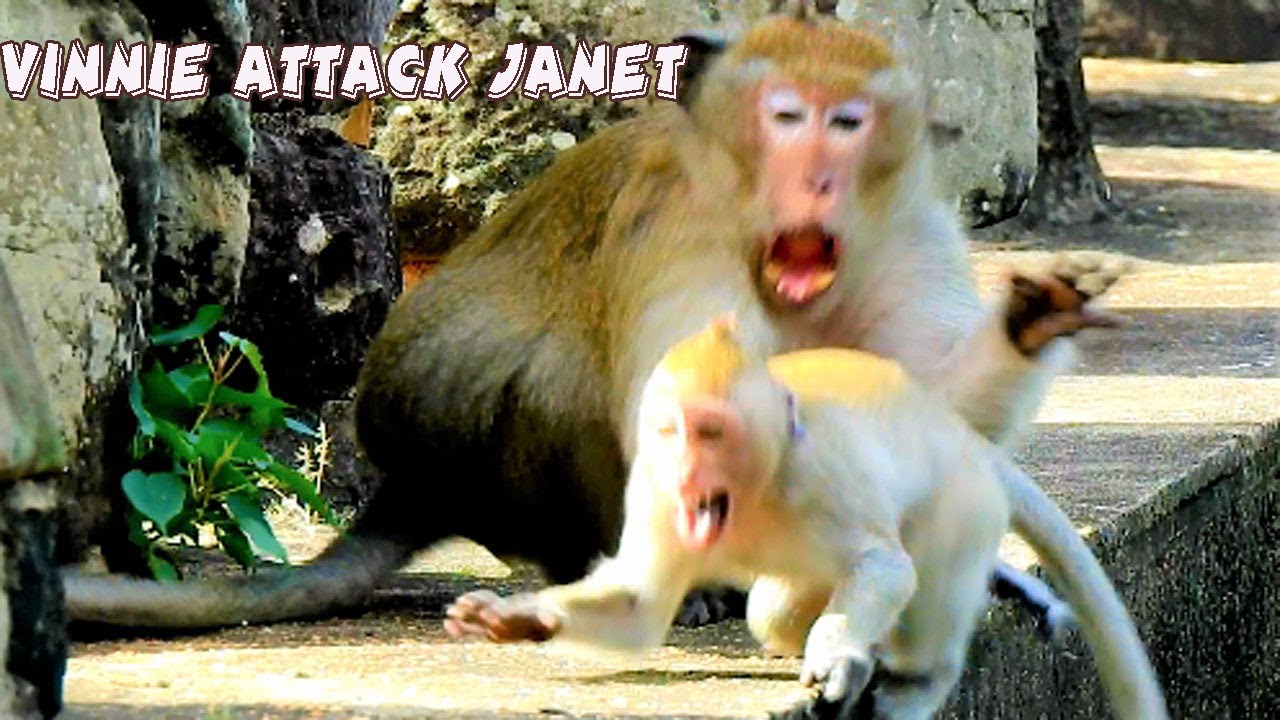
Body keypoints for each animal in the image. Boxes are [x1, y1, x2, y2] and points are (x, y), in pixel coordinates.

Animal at [64, 9, 1120, 632]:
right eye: (788, 116)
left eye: (847, 122)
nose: (817, 177)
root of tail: (414, 484)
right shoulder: (681, 227)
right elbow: (675, 404)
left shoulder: (908, 231)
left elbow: (927, 403)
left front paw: (1030, 323)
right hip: (462, 437)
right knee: (562, 384)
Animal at [443, 319, 1167, 720]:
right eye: (671, 430)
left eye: (711, 431)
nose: (686, 468)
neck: (754, 490)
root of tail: (959, 435)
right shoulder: (651, 488)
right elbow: (639, 603)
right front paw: (518, 618)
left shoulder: (823, 475)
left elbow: (884, 566)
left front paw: (837, 655)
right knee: (775, 611)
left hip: (963, 504)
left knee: (921, 581)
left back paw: (915, 678)